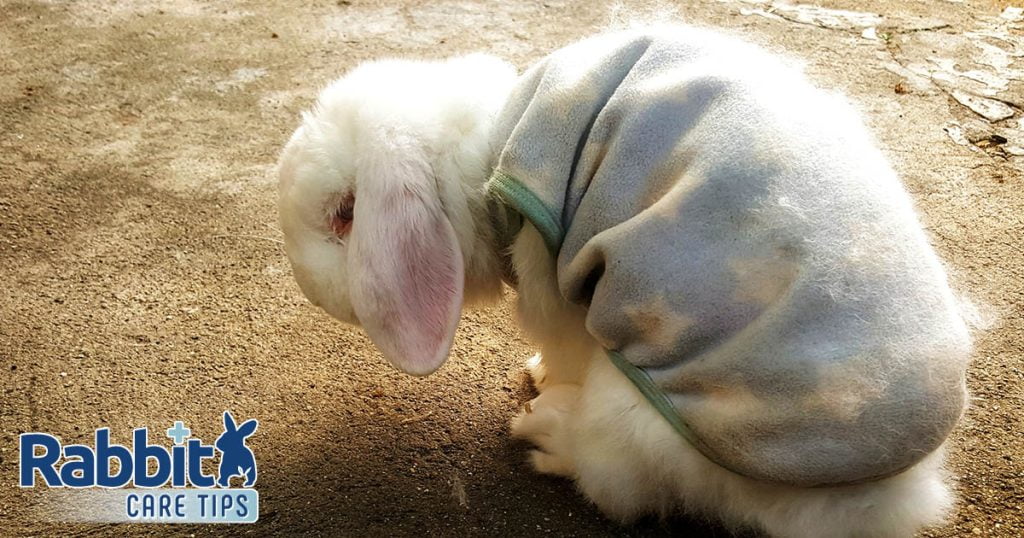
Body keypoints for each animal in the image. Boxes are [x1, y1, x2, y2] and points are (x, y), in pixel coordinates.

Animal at [277, 25, 971, 538]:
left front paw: (542, 376)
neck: (491, 150)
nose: (306, 286)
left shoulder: (558, 282)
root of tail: (878, 500)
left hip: (635, 399)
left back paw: (543, 429)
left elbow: (563, 348)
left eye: (345, 213)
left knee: (615, 482)